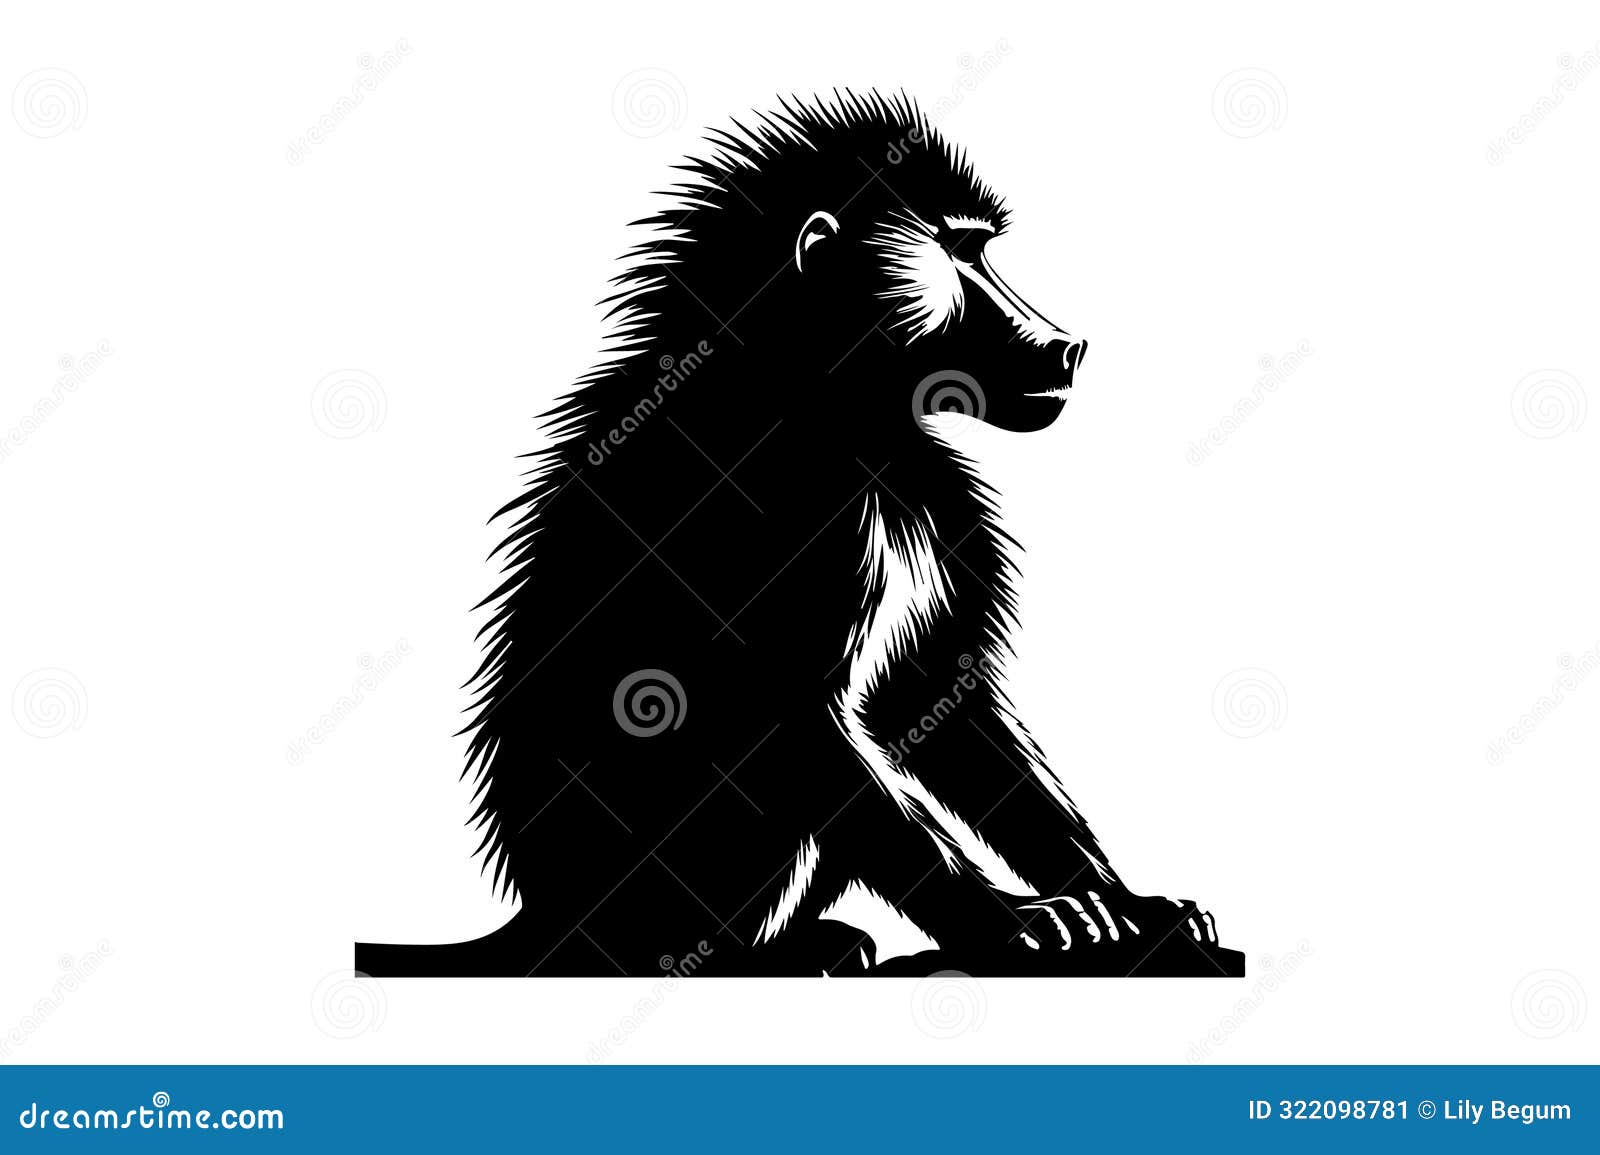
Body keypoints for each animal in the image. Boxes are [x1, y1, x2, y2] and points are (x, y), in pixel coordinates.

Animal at [356, 92, 1242, 977]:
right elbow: (794, 714)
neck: (832, 405)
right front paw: (1012, 920)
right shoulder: (786, 501)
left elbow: (939, 700)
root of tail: (554, 910)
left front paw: (1130, 906)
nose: (1064, 344)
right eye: (961, 252)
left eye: (983, 251)